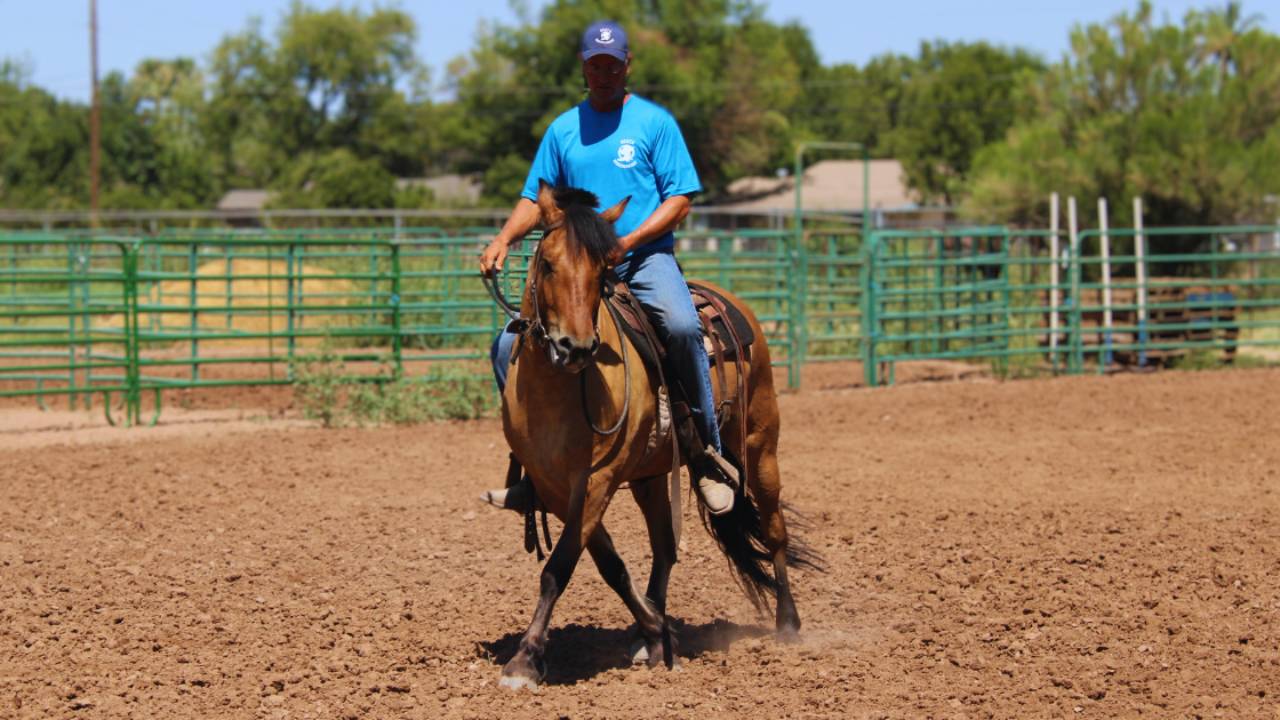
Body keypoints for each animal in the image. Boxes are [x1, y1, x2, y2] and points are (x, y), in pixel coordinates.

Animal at [487, 181, 816, 689]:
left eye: (602, 270)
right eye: (547, 265)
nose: (576, 347)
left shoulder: (598, 479)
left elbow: (560, 565)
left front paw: (524, 659)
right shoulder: (555, 487)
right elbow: (608, 564)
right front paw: (657, 630)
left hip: (761, 445)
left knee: (774, 530)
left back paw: (788, 623)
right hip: (650, 475)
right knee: (664, 549)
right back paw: (652, 634)